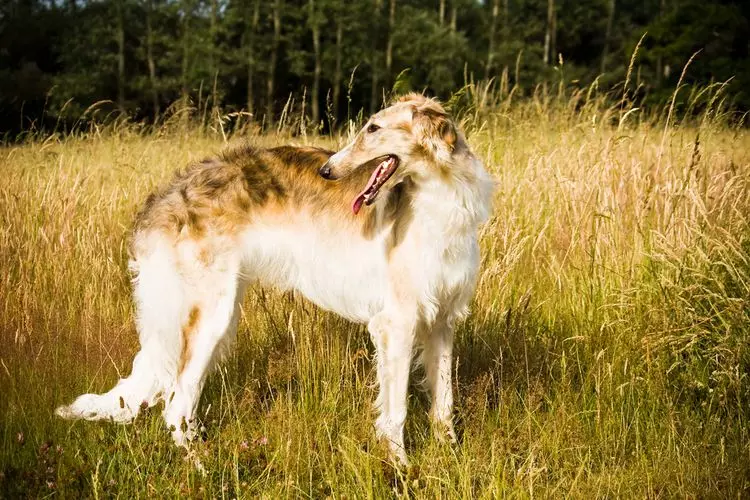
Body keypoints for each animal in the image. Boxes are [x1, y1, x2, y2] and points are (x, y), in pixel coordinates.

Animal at [55, 93, 496, 460]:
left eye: (373, 128)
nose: (327, 170)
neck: (440, 201)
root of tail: (166, 196)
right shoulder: (397, 323)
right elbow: (396, 412)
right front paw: (401, 467)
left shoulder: (443, 320)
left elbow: (443, 404)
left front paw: (451, 456)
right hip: (210, 315)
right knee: (176, 406)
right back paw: (201, 467)